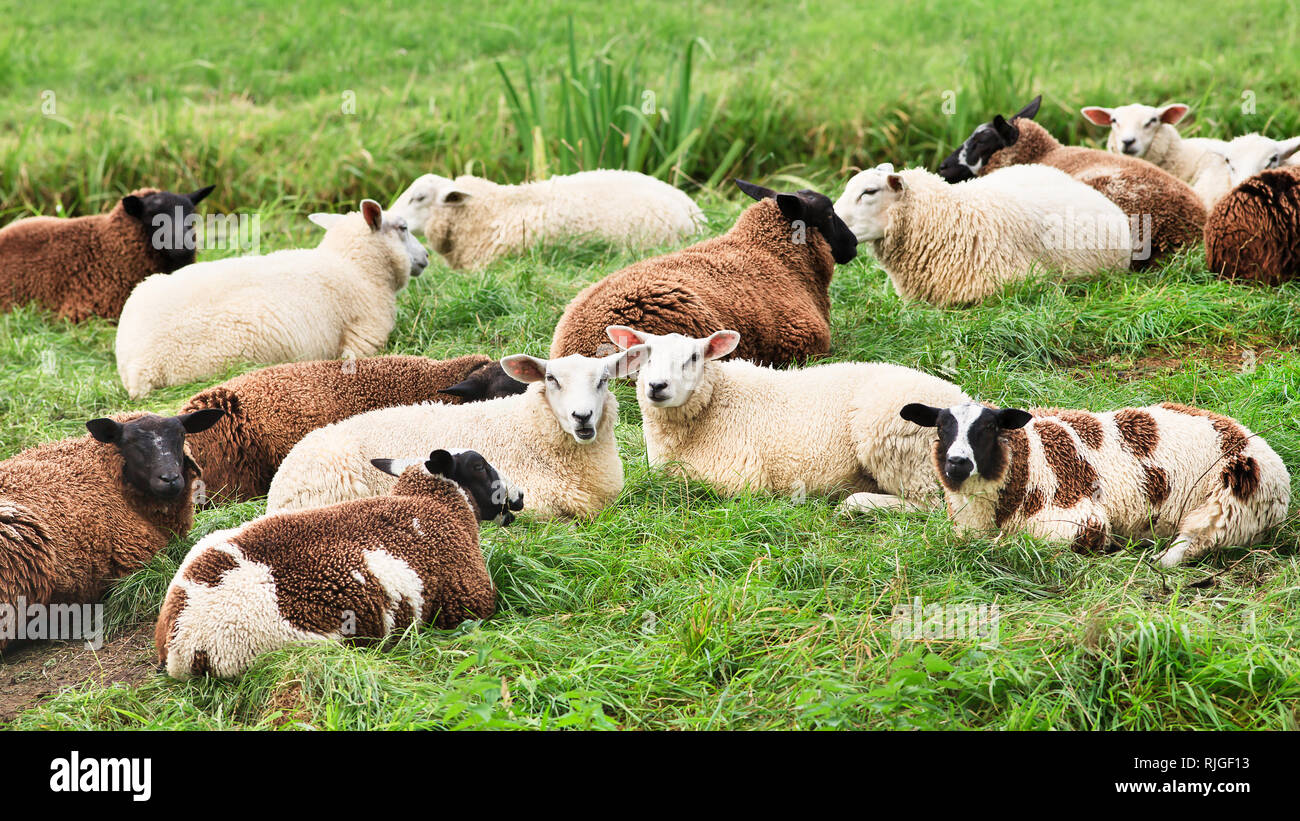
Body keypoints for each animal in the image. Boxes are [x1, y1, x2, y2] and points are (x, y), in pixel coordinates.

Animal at [604, 326, 971, 510]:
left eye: (694, 358)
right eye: (644, 356)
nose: (656, 386)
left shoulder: (739, 479)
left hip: (894, 442)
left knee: (934, 506)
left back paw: (856, 504)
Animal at [899, 401, 1290, 567]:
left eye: (990, 428)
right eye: (941, 428)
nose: (957, 463)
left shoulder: (1081, 519)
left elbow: (1020, 543)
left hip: (1228, 503)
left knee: (1191, 543)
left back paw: (1153, 556)